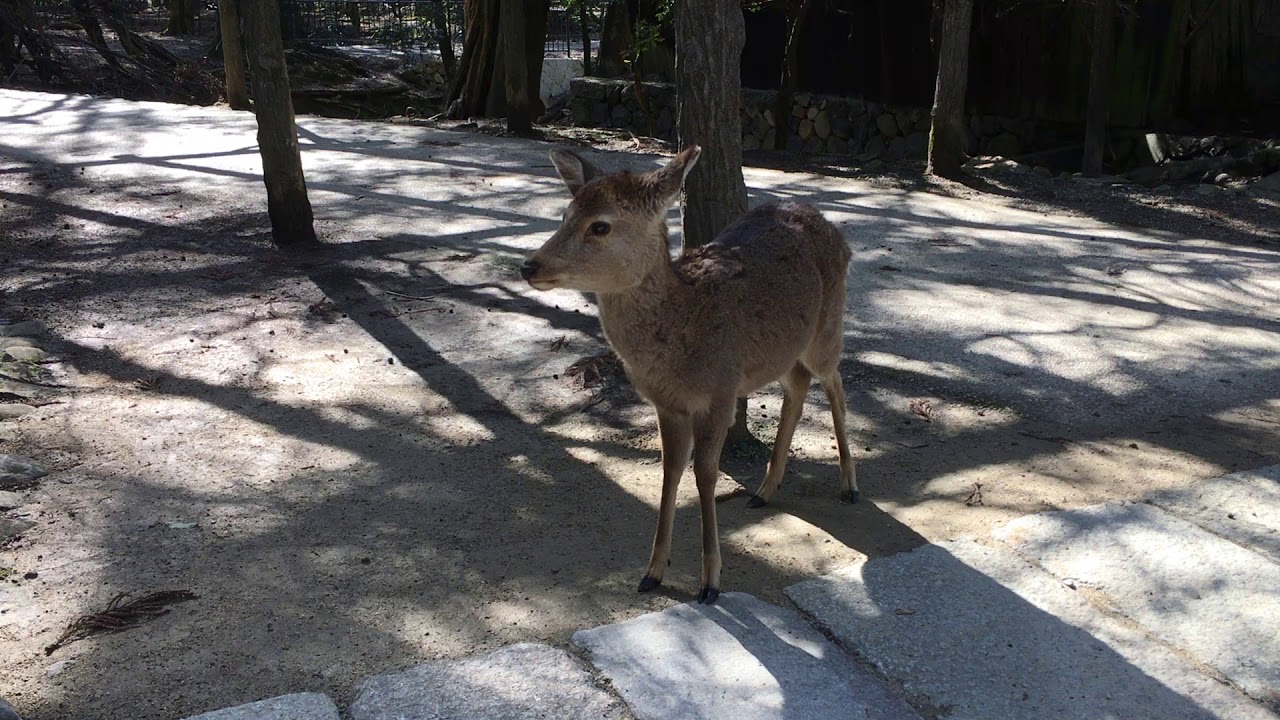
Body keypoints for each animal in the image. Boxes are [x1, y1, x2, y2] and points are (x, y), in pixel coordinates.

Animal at [520, 145, 857, 604]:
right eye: (565, 214)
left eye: (600, 225)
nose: (529, 266)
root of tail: (835, 231)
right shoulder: (667, 404)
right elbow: (671, 470)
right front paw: (652, 572)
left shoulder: (720, 392)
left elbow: (705, 473)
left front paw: (710, 581)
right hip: (785, 351)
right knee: (799, 388)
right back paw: (764, 491)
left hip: (827, 328)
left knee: (835, 382)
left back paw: (849, 486)